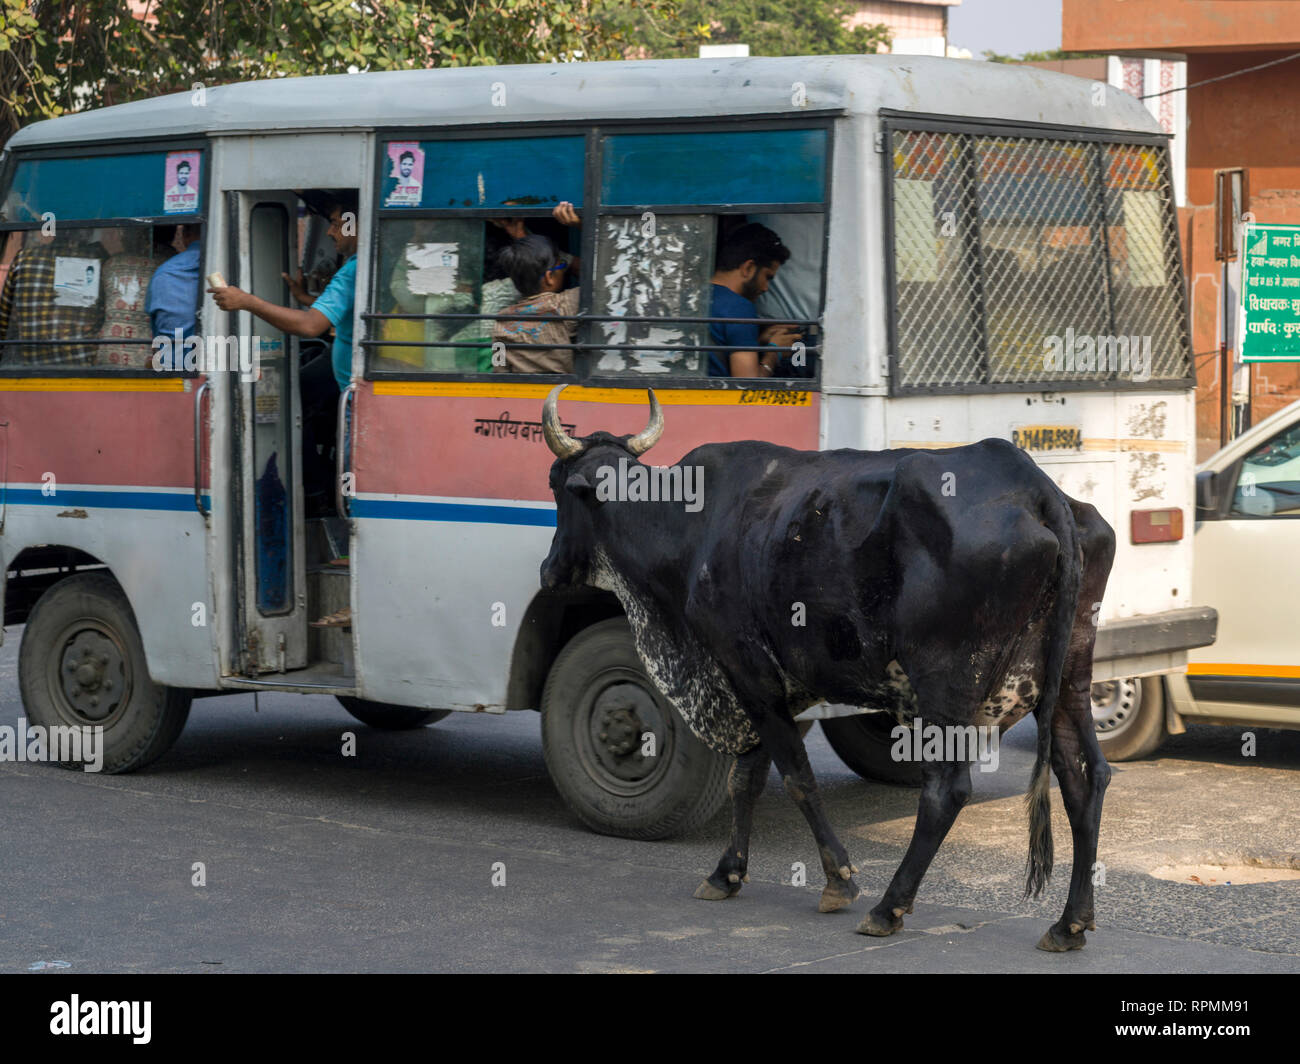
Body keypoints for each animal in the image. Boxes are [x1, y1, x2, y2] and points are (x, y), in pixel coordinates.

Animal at [539, 385, 1116, 952]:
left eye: (557, 485)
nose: (548, 570)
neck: (688, 523)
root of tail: (1037, 489)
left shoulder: (745, 671)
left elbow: (796, 777)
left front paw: (838, 879)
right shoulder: (761, 687)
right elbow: (747, 779)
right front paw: (727, 872)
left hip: (946, 684)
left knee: (947, 790)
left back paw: (889, 907)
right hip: (1068, 677)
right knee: (1085, 776)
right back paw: (1070, 922)